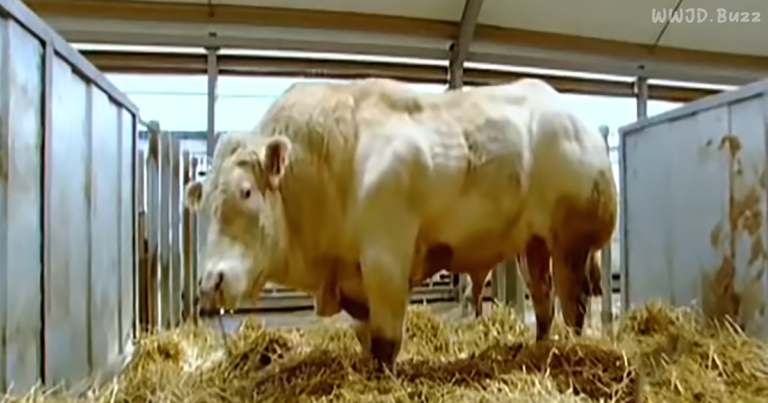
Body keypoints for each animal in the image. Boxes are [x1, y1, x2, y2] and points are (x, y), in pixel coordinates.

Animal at [185, 77, 617, 370]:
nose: (210, 283)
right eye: (201, 205)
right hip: (534, 246)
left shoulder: (385, 259)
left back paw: (572, 349)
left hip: (571, 244)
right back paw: (540, 348)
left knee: (574, 305)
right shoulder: (354, 276)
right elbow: (366, 335)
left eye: (245, 192)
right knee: (544, 303)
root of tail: (581, 124)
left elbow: (385, 340)